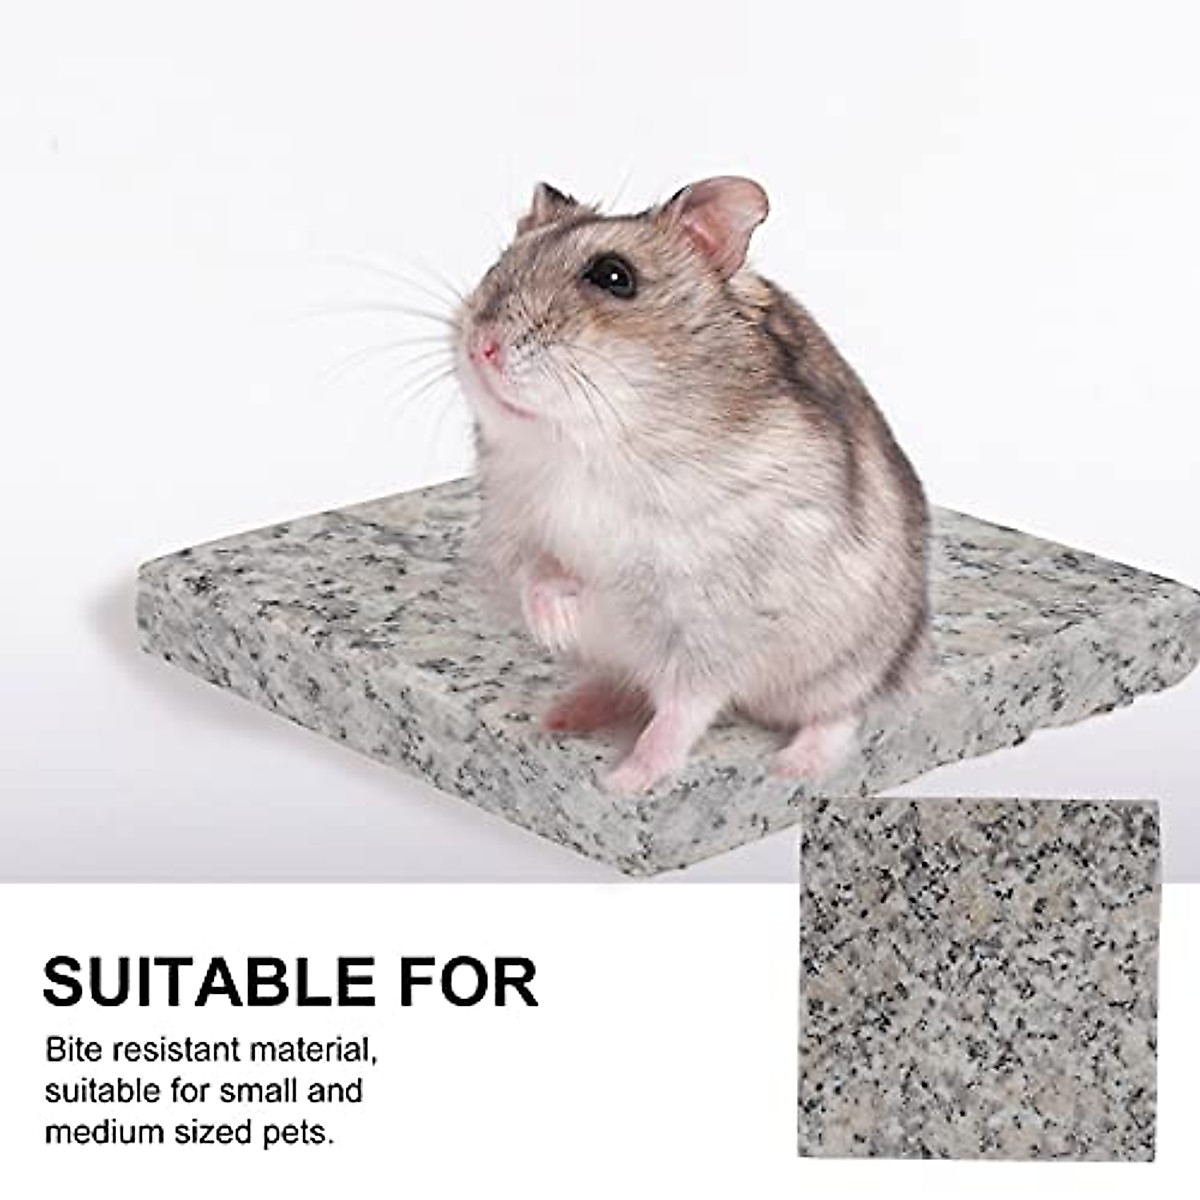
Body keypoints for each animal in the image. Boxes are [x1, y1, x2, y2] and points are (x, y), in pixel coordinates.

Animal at [453, 177, 929, 794]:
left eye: (613, 276)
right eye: (500, 261)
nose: (480, 345)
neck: (593, 445)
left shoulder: (710, 622)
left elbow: (684, 708)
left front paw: (624, 782)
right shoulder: (516, 525)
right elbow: (538, 572)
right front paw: (557, 624)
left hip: (845, 661)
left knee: (840, 712)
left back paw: (792, 767)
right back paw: (562, 714)